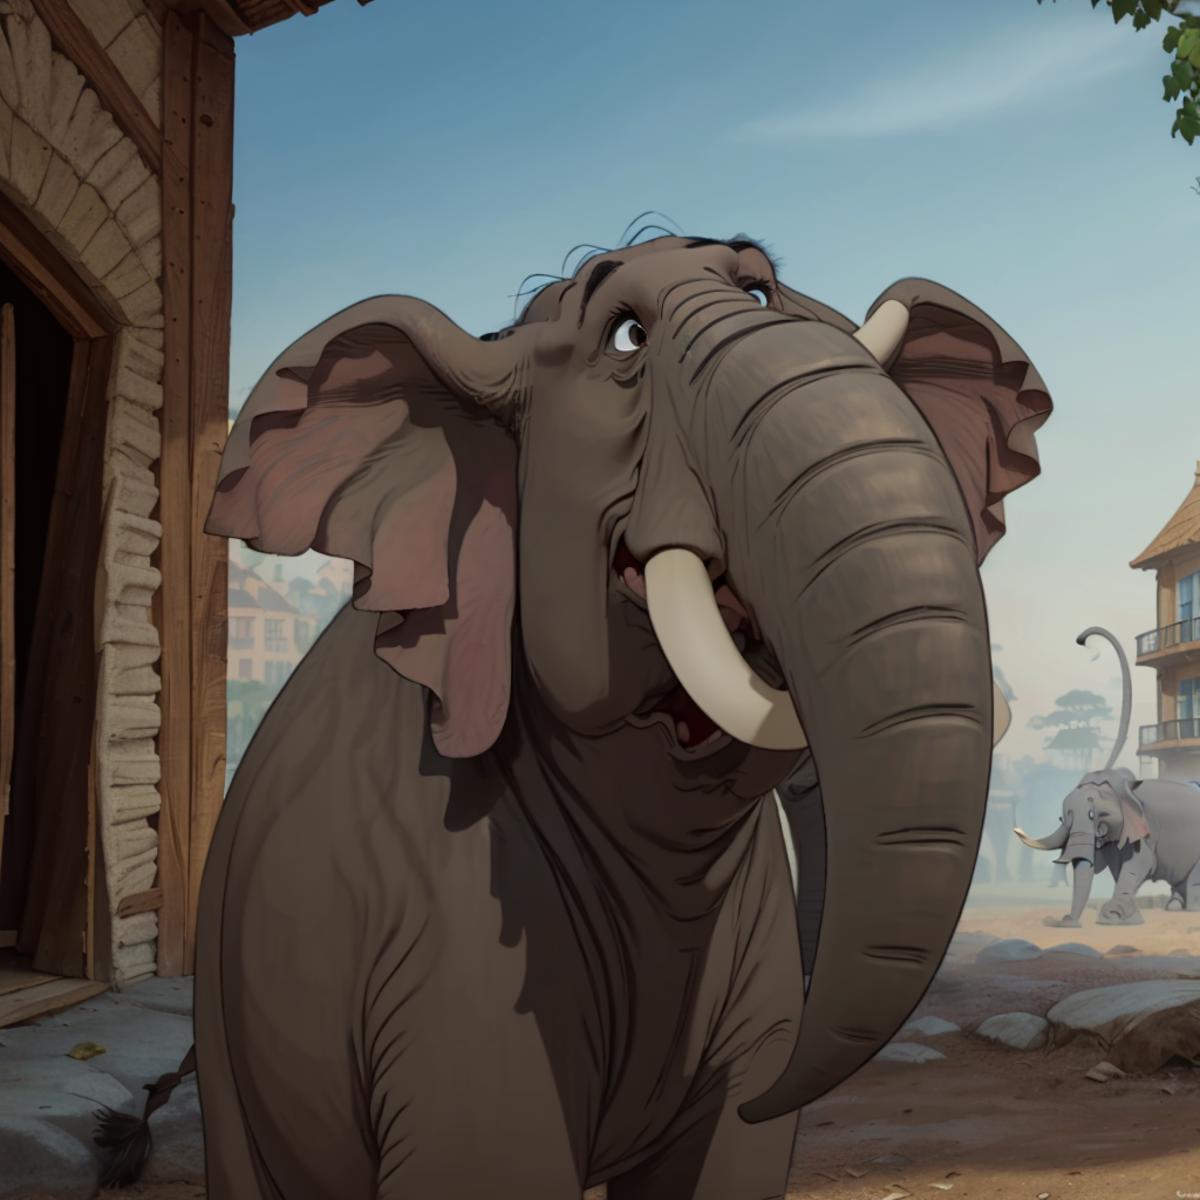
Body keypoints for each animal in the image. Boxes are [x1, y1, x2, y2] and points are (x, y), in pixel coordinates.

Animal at [1016, 627, 1200, 926]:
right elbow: (1117, 868)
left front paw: (1114, 917)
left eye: (1093, 814)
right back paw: (1174, 907)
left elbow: (1137, 865)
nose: (1066, 921)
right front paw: (1126, 918)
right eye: (1061, 818)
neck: (1122, 786)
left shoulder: (1144, 831)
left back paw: (1191, 909)